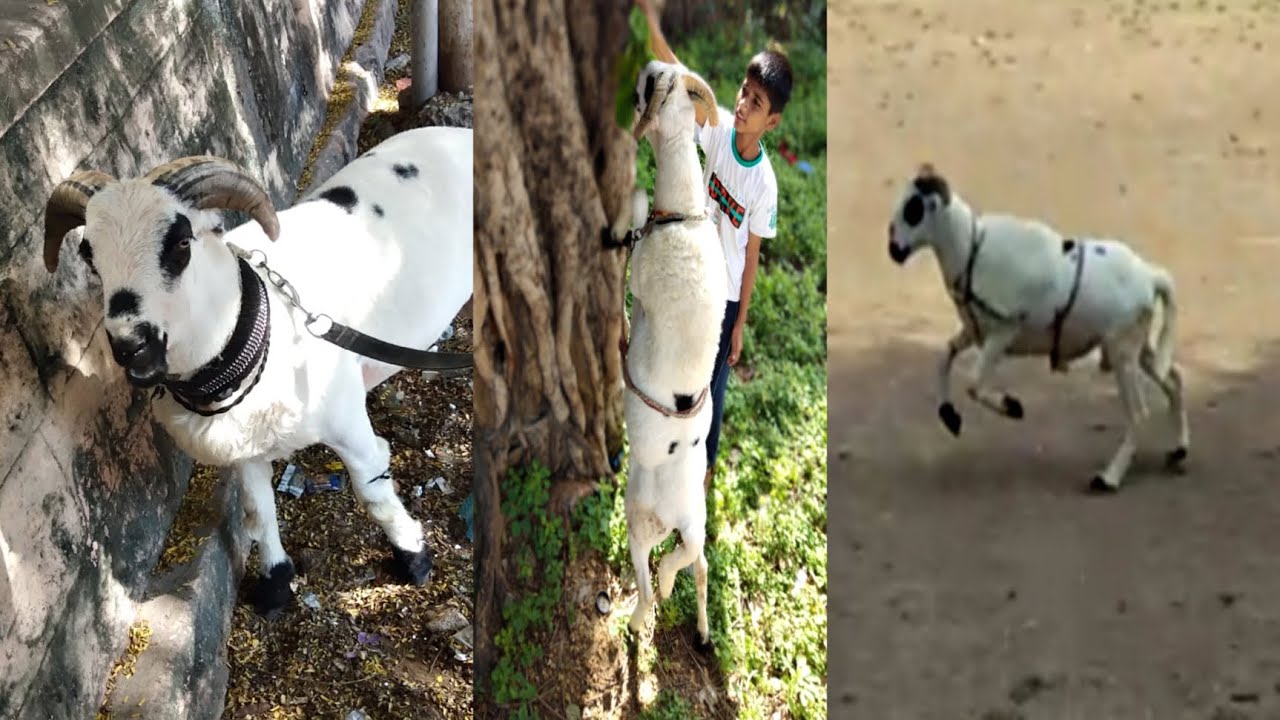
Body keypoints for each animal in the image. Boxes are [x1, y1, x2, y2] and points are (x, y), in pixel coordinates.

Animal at [41, 126, 473, 615]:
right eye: (89, 255)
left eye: (182, 243)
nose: (132, 345)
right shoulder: (243, 451)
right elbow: (258, 511)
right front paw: (275, 583)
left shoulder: (348, 427)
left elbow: (375, 494)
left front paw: (413, 559)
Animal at [886, 164, 1189, 493]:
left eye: (913, 208)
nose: (894, 250)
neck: (972, 248)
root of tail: (1150, 276)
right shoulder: (974, 330)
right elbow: (945, 355)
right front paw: (950, 416)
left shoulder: (1003, 332)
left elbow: (974, 383)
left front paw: (1012, 406)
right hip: (1137, 347)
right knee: (1173, 379)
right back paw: (1178, 451)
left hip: (1122, 352)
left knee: (1139, 412)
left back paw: (1108, 478)